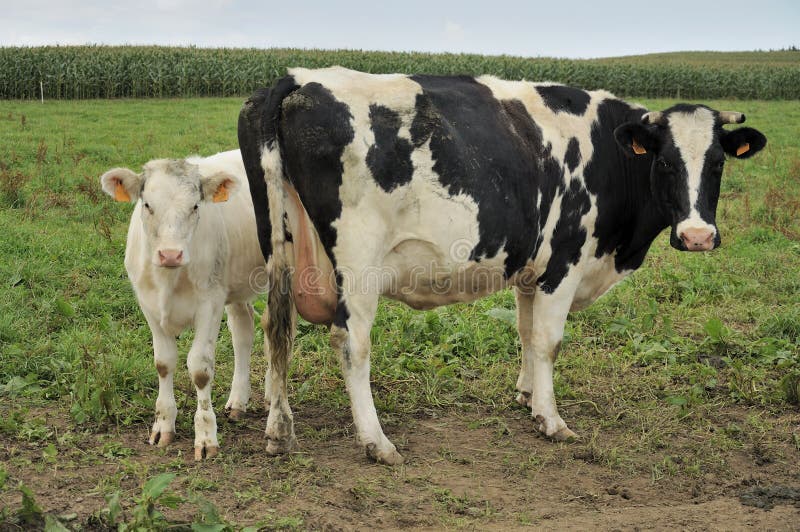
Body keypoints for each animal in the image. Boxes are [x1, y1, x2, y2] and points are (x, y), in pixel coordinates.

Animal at [100, 149, 264, 460]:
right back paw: (238, 400)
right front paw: (163, 425)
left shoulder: (210, 303)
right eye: (147, 205)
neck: (169, 280)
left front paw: (206, 436)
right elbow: (164, 363)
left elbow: (200, 368)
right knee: (243, 332)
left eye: (195, 206)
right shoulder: (148, 305)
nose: (170, 254)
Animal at [237, 67, 767, 465]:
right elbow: (549, 341)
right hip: (358, 264)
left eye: (718, 163)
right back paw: (376, 442)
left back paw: (278, 428)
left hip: (280, 248)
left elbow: (526, 333)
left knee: (275, 326)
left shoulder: (530, 271)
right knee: (350, 342)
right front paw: (552, 420)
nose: (697, 236)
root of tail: (298, 78)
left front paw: (528, 397)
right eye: (665, 162)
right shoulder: (563, 263)